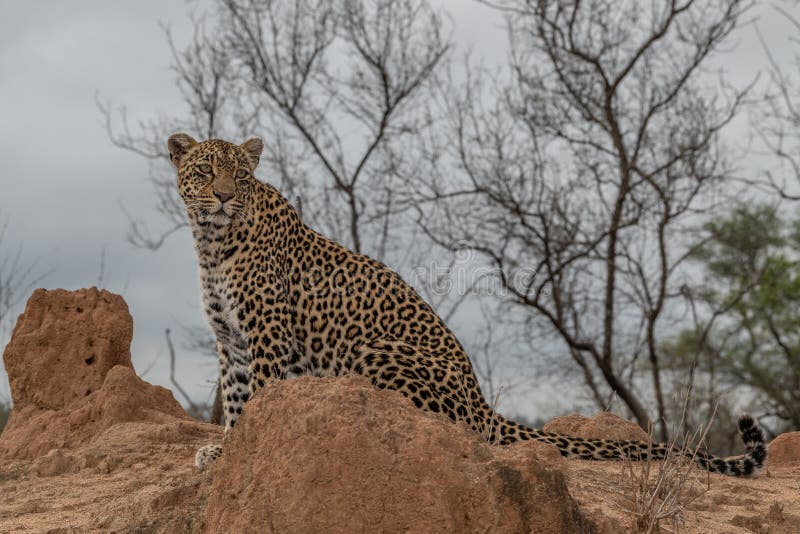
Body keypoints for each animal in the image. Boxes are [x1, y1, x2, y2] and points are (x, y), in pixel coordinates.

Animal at [167, 133, 768, 476]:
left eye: (240, 175)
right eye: (205, 170)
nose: (223, 195)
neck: (212, 240)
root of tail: (482, 404)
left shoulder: (267, 333)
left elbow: (258, 396)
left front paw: (234, 452)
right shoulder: (231, 340)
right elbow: (237, 399)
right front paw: (222, 449)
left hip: (376, 352)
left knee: (451, 432)